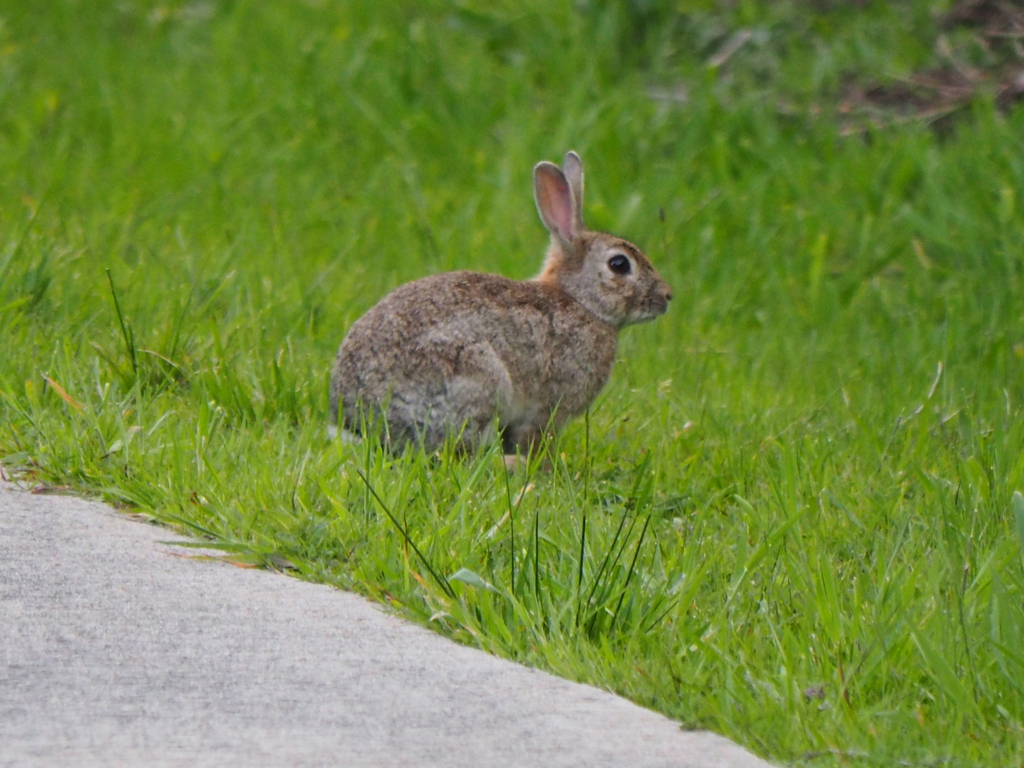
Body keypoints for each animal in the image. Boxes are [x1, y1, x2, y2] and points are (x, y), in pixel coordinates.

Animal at [330, 151, 671, 460]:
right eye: (619, 264)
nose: (667, 296)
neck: (580, 301)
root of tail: (359, 421)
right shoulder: (547, 410)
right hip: (478, 379)